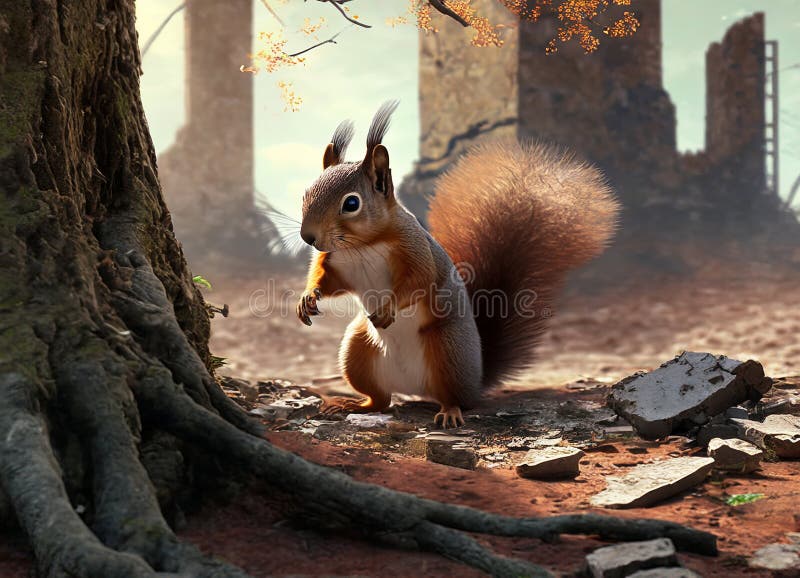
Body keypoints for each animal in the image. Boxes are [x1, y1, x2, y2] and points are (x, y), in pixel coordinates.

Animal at [296, 101, 619, 427]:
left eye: (351, 203)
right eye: (305, 194)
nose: (308, 236)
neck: (362, 246)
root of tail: (416, 389)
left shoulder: (416, 250)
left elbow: (419, 281)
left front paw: (388, 308)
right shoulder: (336, 263)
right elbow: (327, 280)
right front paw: (307, 298)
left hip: (447, 352)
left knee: (454, 398)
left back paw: (449, 413)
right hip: (358, 351)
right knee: (381, 400)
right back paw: (353, 404)